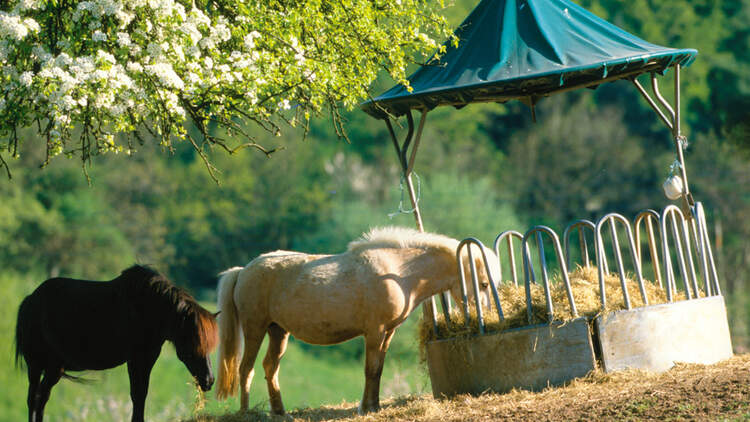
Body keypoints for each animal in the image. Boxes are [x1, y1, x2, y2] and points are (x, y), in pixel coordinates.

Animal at [14, 265, 219, 422]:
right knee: (34, 398)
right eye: (193, 343)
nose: (209, 380)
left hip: (53, 368)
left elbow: (141, 395)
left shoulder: (148, 358)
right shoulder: (137, 359)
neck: (147, 309)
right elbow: (137, 394)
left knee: (41, 398)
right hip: (37, 365)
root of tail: (30, 300)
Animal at [214, 226, 499, 415]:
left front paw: (374, 405)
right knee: (245, 369)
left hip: (278, 331)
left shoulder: (388, 333)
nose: (488, 316)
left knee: (270, 367)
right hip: (255, 328)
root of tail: (243, 271)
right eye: (484, 283)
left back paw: (279, 412)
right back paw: (246, 413)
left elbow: (379, 369)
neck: (396, 271)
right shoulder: (374, 332)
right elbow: (370, 369)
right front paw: (367, 407)